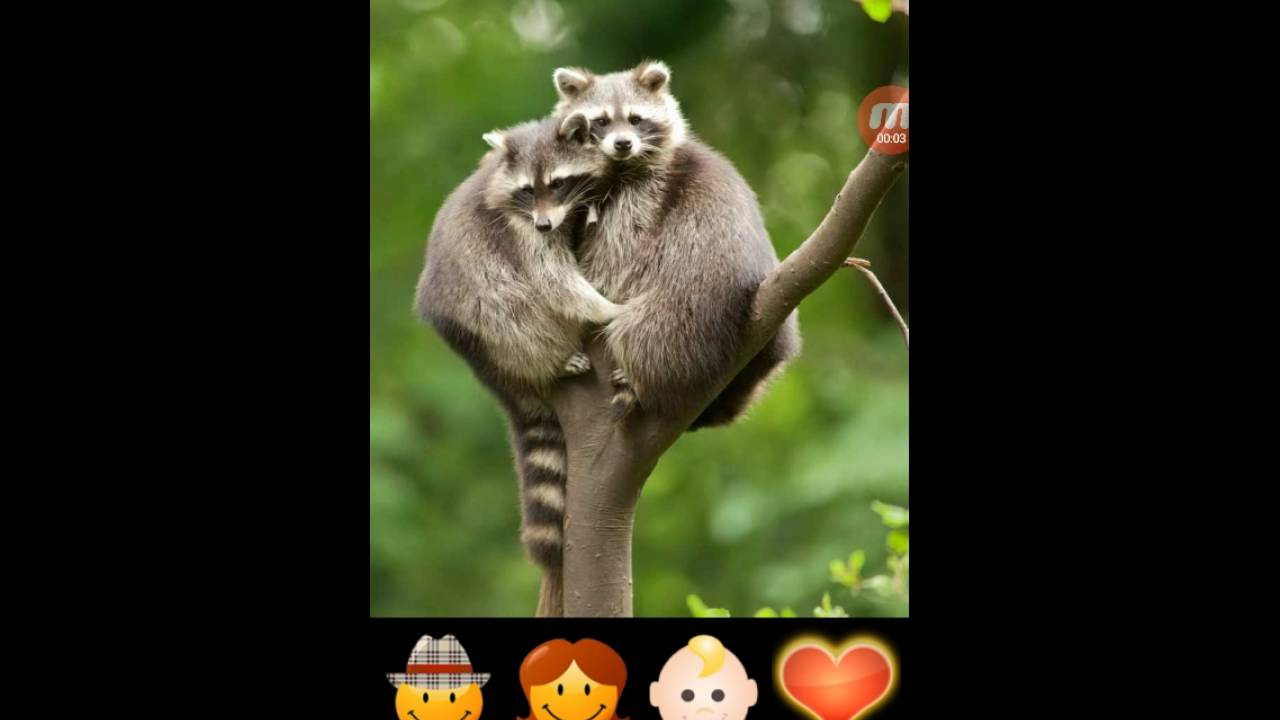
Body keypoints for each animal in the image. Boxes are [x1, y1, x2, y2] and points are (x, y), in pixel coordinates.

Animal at [414, 114, 620, 576]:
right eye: (527, 190)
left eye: (559, 184)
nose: (545, 225)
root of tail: (492, 371)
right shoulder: (517, 231)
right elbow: (555, 282)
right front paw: (610, 309)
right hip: (489, 320)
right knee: (508, 305)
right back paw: (555, 358)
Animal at [551, 61, 801, 428]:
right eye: (601, 121)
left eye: (636, 119)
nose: (623, 144)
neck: (621, 167)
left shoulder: (643, 201)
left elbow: (614, 262)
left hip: (679, 311)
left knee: (637, 330)